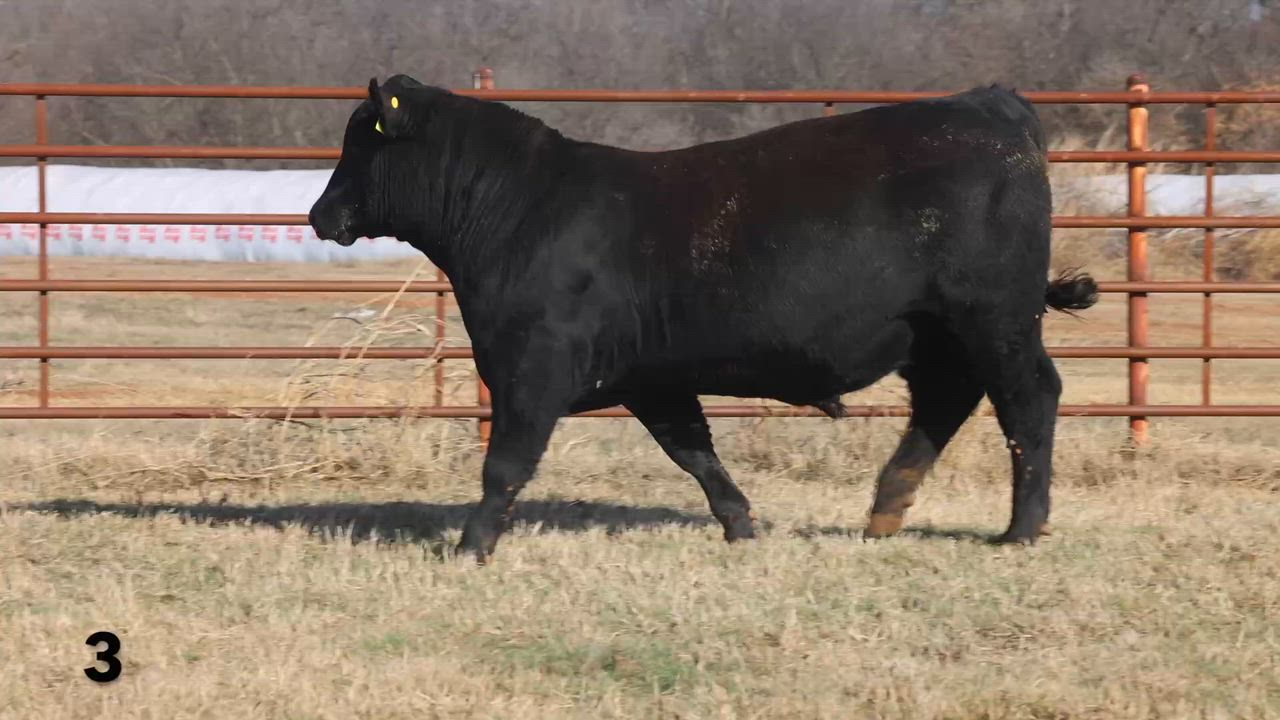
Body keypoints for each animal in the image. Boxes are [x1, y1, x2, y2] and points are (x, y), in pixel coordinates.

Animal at [309, 75, 1098, 563]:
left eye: (361, 141)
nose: (319, 214)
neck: (520, 209)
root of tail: (988, 104)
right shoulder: (651, 377)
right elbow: (693, 451)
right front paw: (742, 525)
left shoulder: (532, 365)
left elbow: (504, 464)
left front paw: (471, 546)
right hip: (938, 334)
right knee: (945, 402)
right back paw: (885, 512)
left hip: (994, 319)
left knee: (1029, 400)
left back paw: (1021, 528)